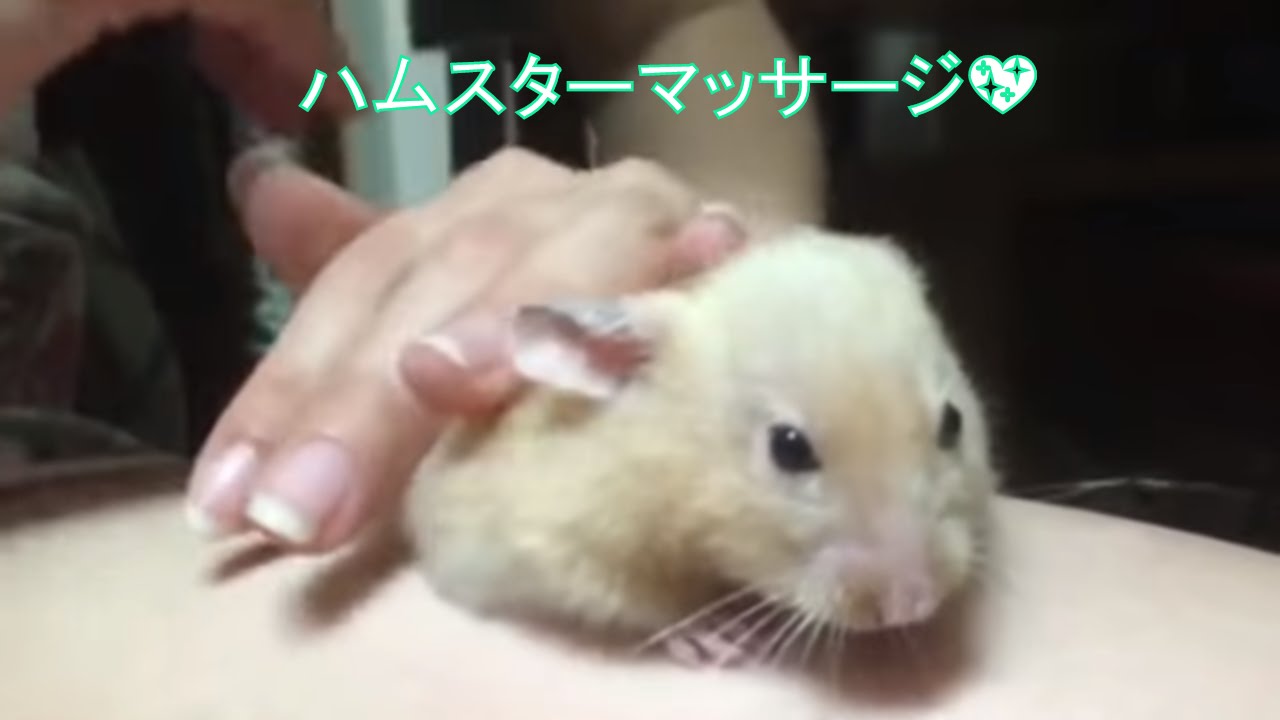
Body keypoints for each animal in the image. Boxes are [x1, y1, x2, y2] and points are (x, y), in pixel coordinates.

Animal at [401, 222, 1000, 665]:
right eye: (788, 448)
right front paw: (715, 640)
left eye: (953, 422)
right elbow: (638, 600)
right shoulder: (563, 541)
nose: (913, 605)